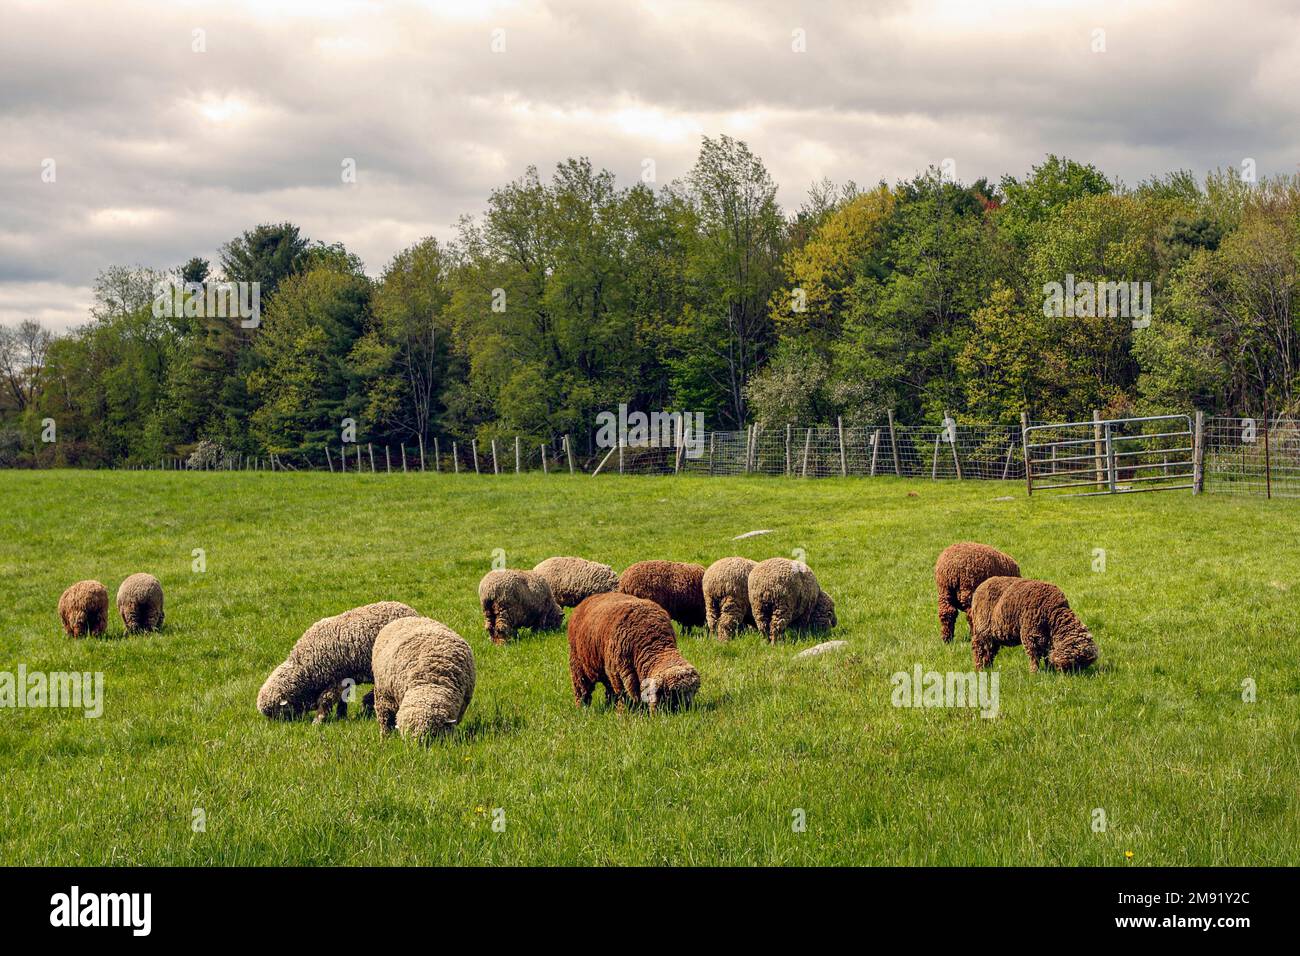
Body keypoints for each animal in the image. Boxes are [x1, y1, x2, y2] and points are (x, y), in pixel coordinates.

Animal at [257, 601, 419, 722]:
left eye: (278, 713)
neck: (305, 667)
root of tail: (411, 611)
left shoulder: (336, 680)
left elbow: (325, 700)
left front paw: (318, 720)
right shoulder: (344, 679)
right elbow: (343, 699)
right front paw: (341, 715)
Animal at [567, 592, 700, 711]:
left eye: (694, 692)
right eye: (674, 693)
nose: (688, 711)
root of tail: (589, 598)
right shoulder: (618, 673)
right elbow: (623, 695)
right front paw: (623, 712)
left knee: (608, 689)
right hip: (578, 664)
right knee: (581, 688)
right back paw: (582, 708)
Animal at [969, 577, 1098, 672]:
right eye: (1075, 664)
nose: (1075, 677)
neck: (1053, 613)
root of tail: (982, 585)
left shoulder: (1045, 638)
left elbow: (1046, 654)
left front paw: (1049, 670)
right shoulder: (1030, 635)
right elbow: (1034, 656)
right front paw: (1034, 672)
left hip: (993, 635)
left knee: (989, 651)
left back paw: (988, 668)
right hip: (982, 630)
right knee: (978, 649)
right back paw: (979, 668)